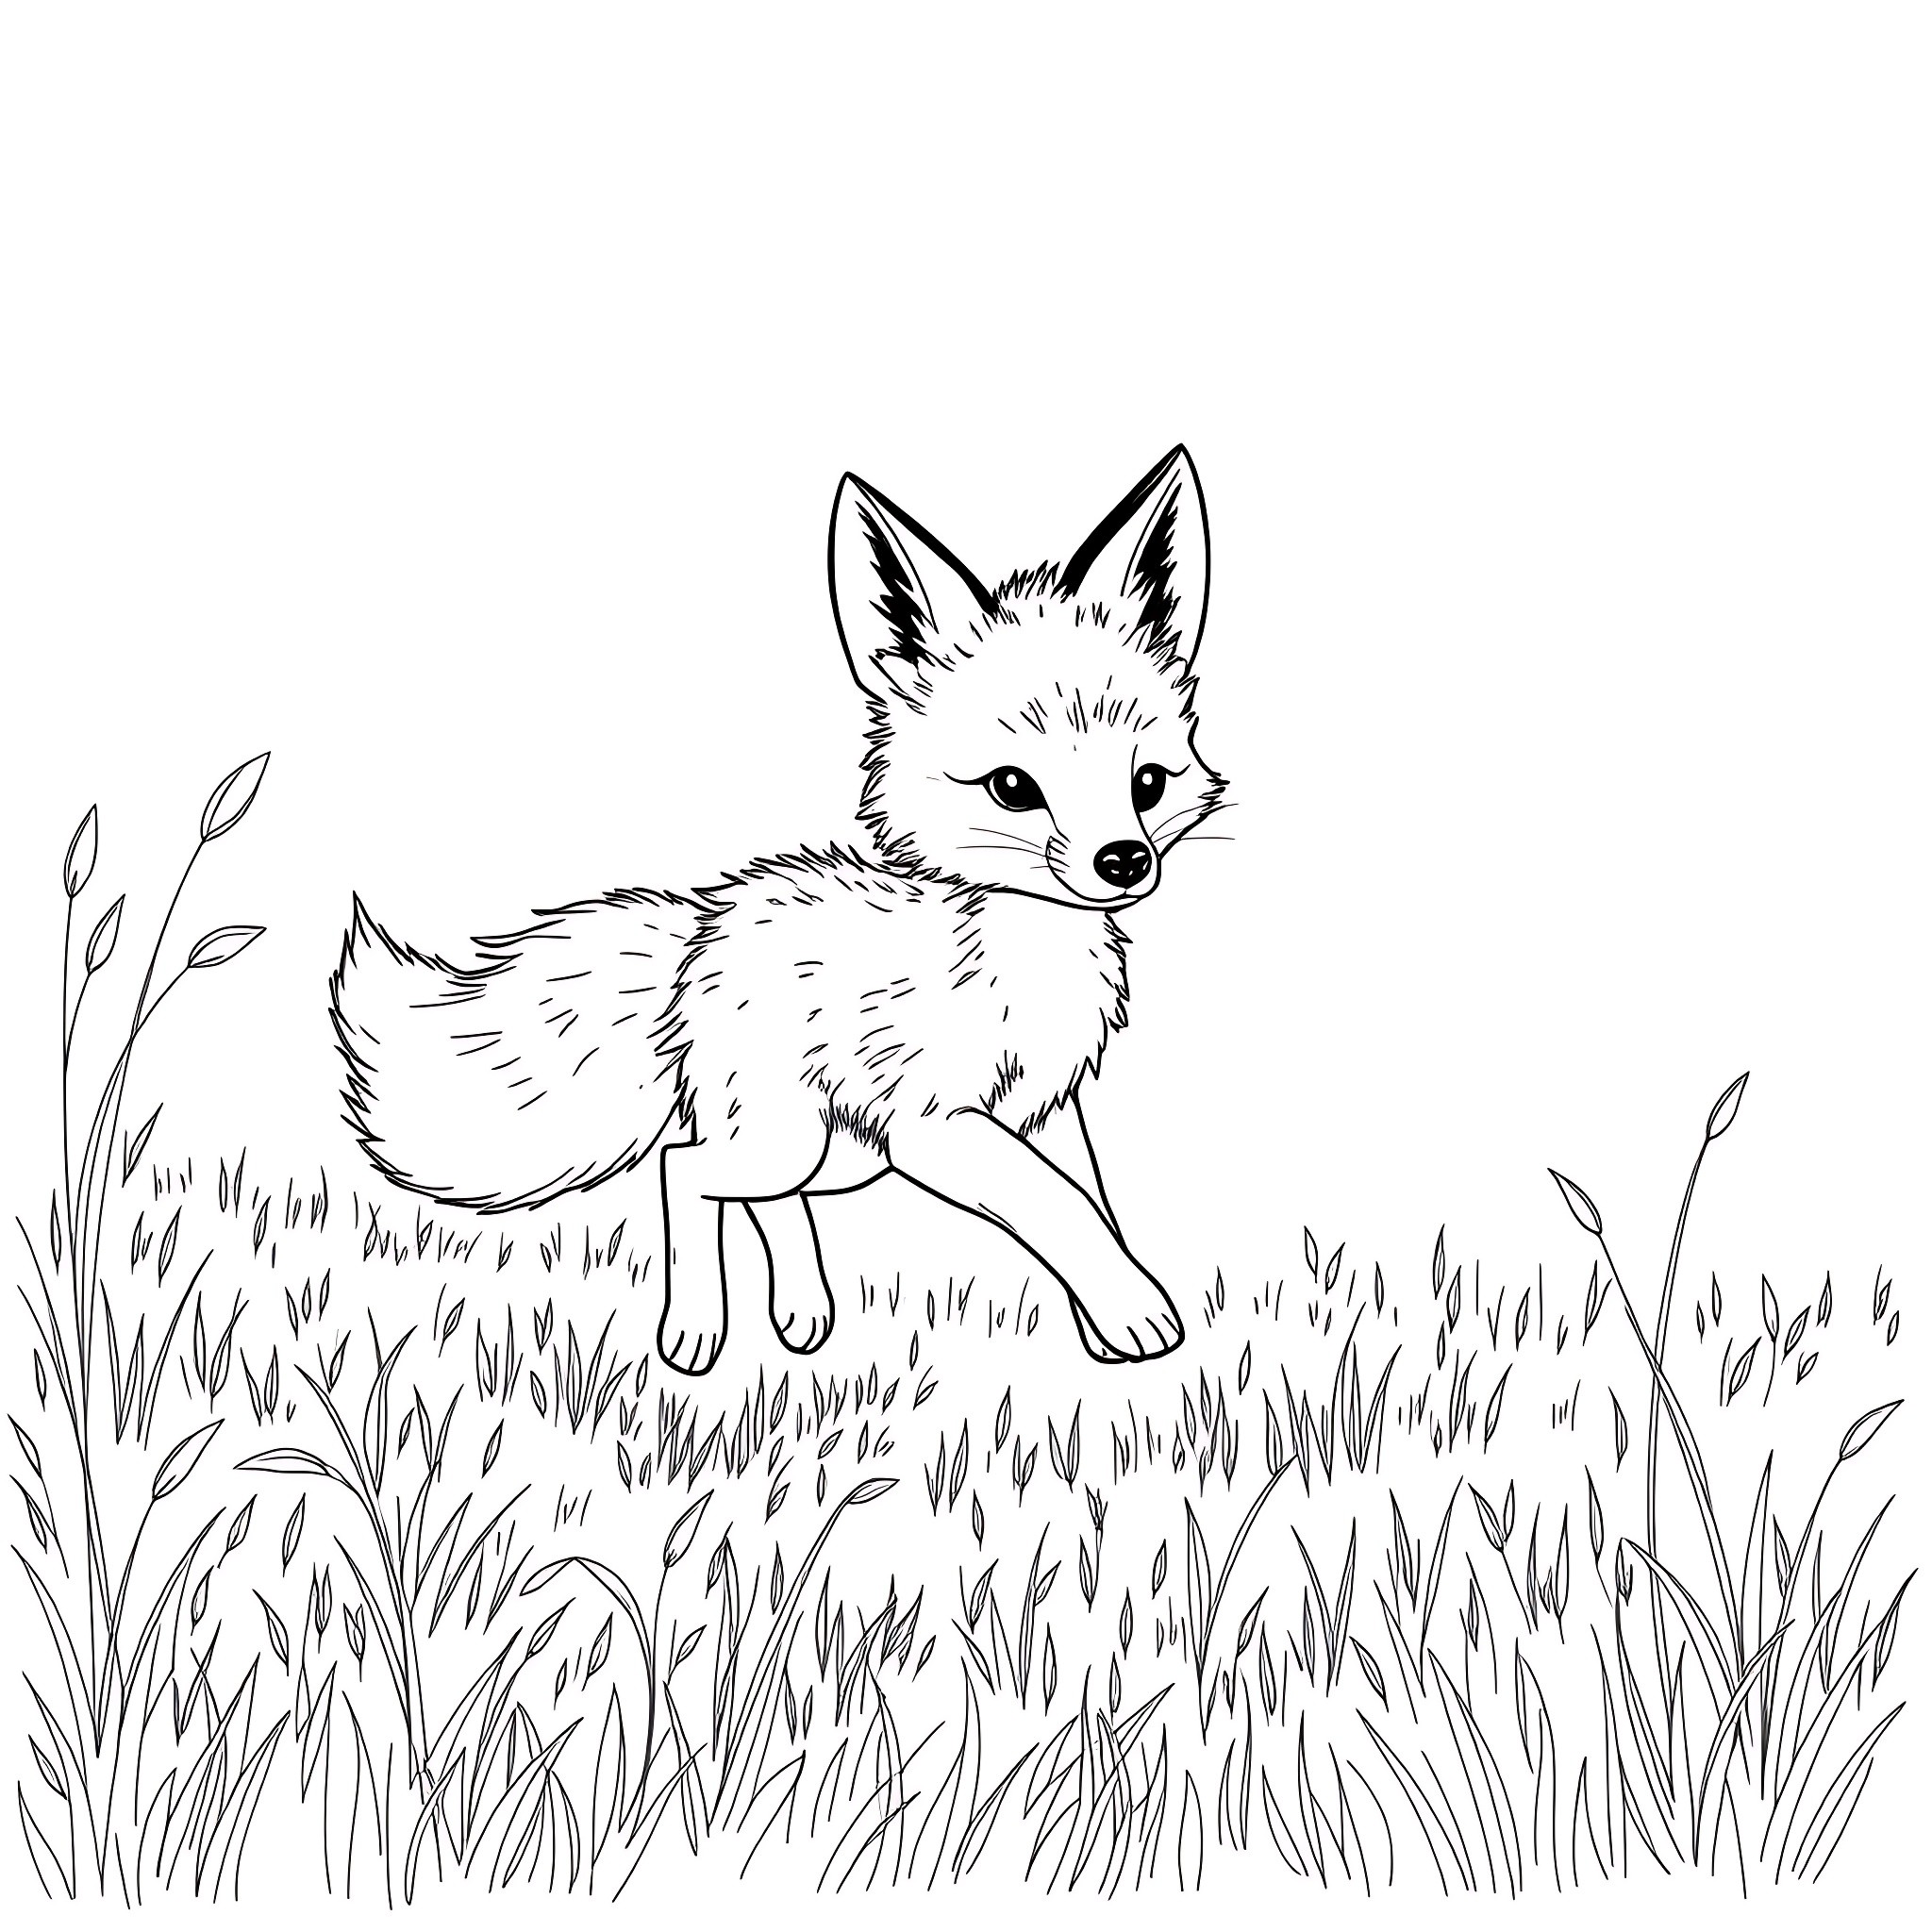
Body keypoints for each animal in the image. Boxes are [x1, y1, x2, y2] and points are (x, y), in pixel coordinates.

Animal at [330, 446, 1227, 1375]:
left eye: (1147, 783)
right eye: (1015, 788)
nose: (1124, 862)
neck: (1023, 964)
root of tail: (701, 929)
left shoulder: (1040, 1113)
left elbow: (1090, 1204)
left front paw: (1107, 1324)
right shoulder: (933, 1125)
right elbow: (1054, 1204)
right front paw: (1135, 1313)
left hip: (836, 1156)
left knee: (759, 1196)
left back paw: (801, 1310)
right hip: (792, 1141)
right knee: (683, 1171)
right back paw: (694, 1329)